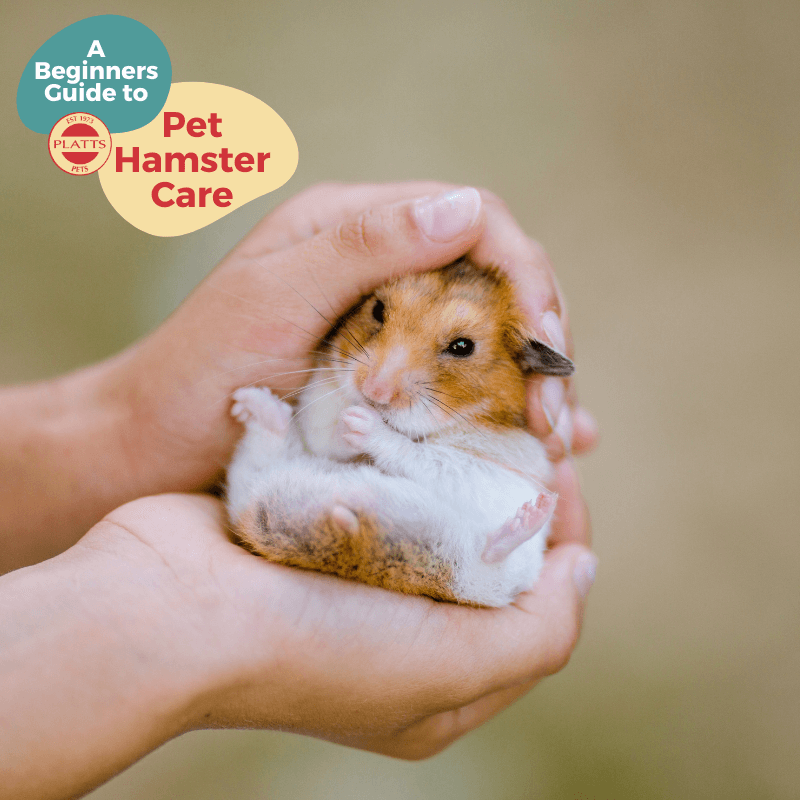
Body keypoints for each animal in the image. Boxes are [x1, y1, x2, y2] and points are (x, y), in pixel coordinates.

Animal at [226, 258, 574, 607]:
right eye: (377, 309)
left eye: (463, 347)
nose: (372, 391)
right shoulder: (317, 409)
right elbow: (326, 435)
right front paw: (349, 418)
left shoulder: (489, 470)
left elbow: (421, 453)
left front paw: (360, 422)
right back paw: (253, 405)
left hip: (493, 573)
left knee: (490, 558)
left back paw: (533, 514)